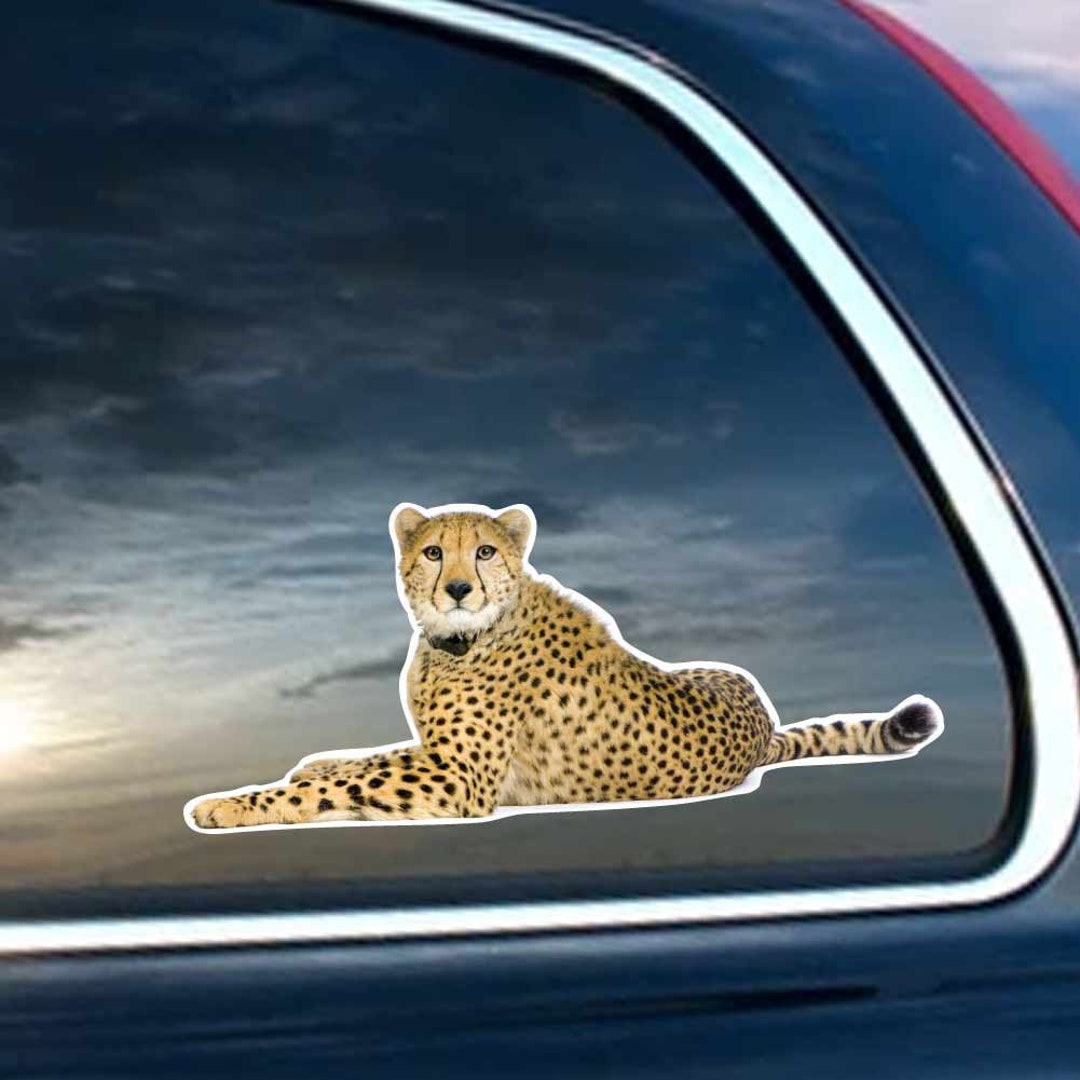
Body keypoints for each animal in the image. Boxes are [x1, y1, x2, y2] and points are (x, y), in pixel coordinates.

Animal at [189, 502, 943, 829]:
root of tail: (761, 714)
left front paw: (226, 804)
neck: (459, 639)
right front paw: (313, 762)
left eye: (484, 552)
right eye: (433, 551)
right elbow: (361, 759)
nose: (457, 588)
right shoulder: (436, 753)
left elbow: (343, 784)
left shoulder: (458, 779)